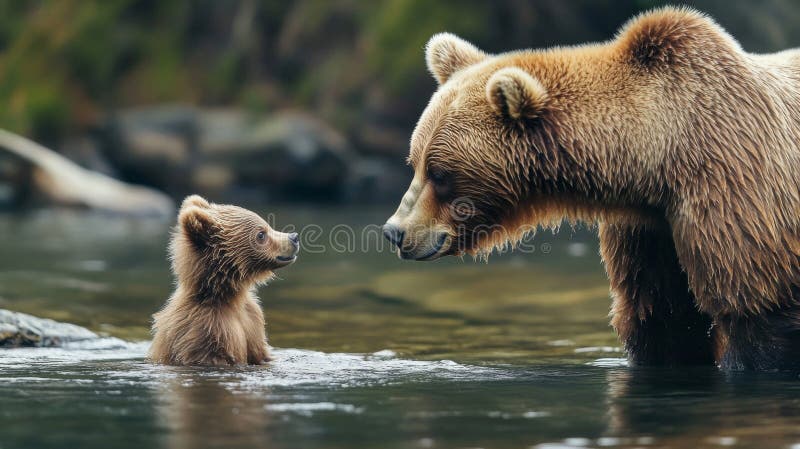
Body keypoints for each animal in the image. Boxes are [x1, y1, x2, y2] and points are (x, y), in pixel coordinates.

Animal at [149, 195, 299, 366]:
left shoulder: (252, 321)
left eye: (267, 226)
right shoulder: (207, 329)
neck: (226, 297)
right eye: (261, 234)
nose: (294, 237)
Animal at [382, 7, 800, 371]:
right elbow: (663, 318)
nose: (395, 231)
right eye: (415, 162)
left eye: (440, 173)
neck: (657, 160)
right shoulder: (648, 228)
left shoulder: (731, 187)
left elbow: (755, 310)